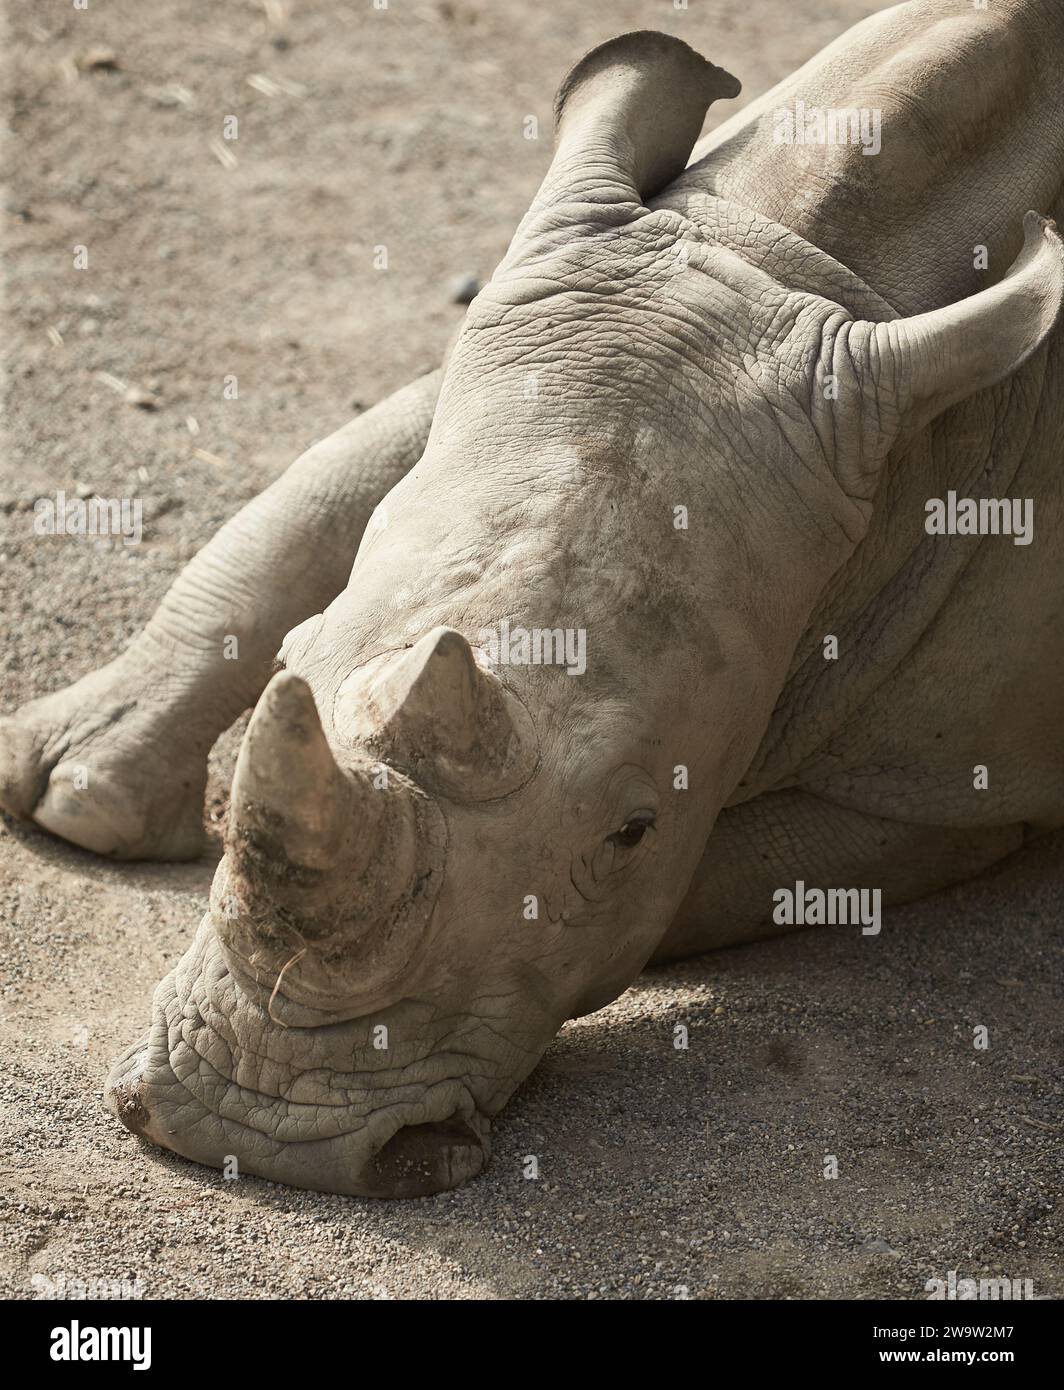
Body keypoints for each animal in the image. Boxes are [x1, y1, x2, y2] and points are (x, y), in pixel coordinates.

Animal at [2, 0, 1063, 1197]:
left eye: (636, 829)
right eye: (291, 665)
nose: (254, 1133)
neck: (827, 266)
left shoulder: (937, 792)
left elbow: (662, 904)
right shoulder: (573, 295)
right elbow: (321, 487)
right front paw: (74, 796)